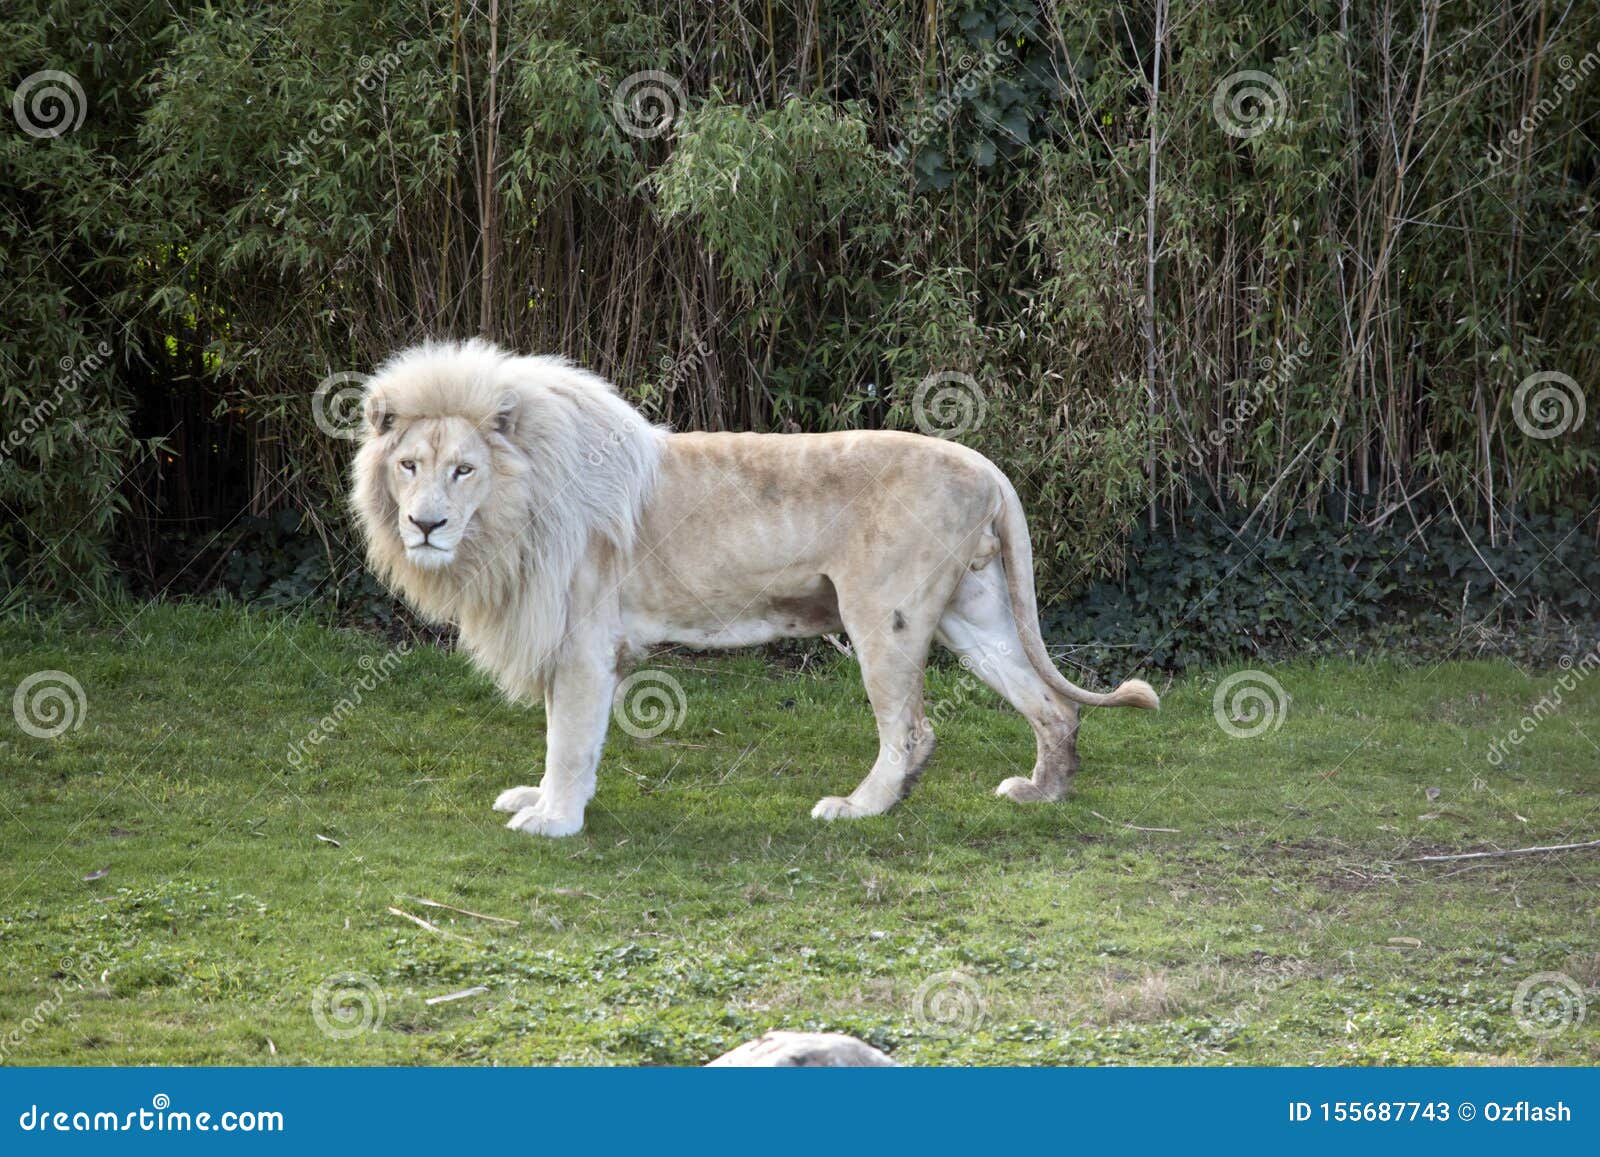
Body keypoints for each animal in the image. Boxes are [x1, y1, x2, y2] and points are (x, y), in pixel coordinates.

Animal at [351, 339, 1157, 837]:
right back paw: (1043, 793)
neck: (510, 517)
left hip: (883, 615)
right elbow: (567, 736)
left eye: (463, 470)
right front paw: (546, 801)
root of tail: (986, 465)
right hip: (976, 616)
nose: (426, 525)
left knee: (912, 730)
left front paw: (554, 819)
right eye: (409, 466)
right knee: (1053, 706)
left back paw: (860, 808)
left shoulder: (582, 641)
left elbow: (570, 739)